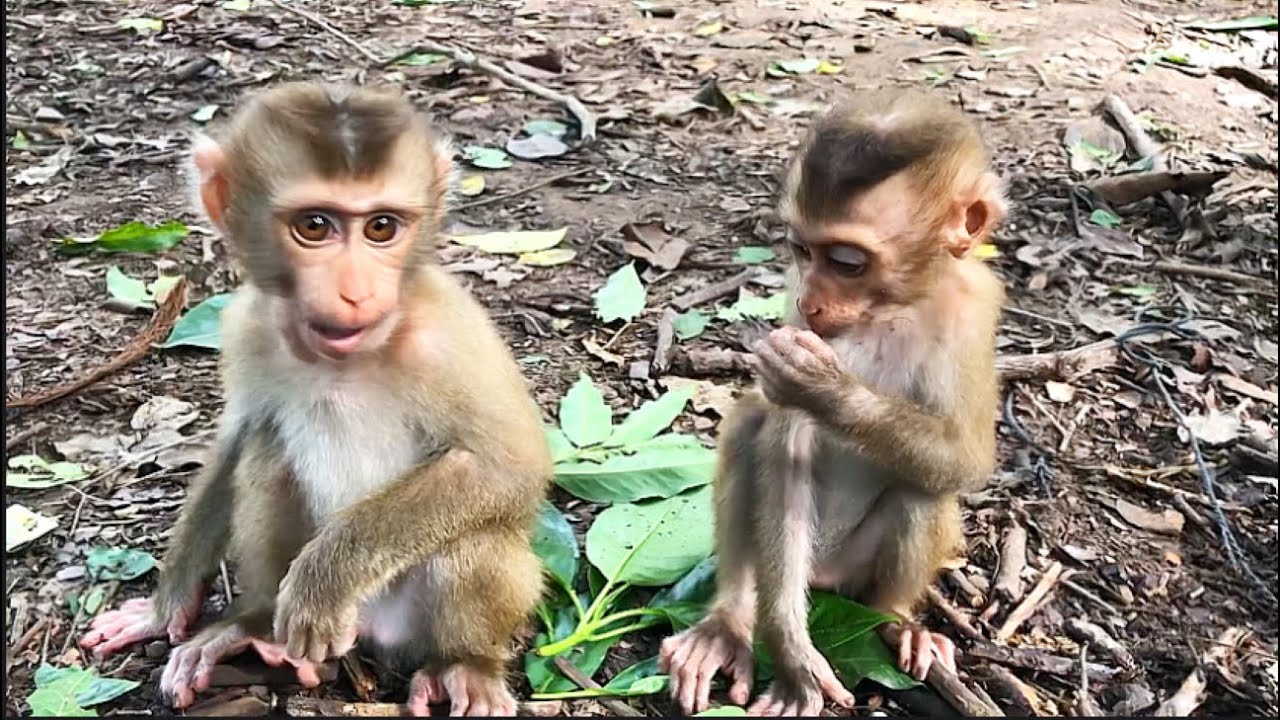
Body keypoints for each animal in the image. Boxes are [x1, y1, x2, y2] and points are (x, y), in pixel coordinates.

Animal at [79, 82, 552, 717]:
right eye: (315, 225)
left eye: (382, 228)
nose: (356, 291)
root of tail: (371, 633)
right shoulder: (248, 325)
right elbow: (235, 440)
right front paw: (164, 607)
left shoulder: (449, 334)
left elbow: (508, 466)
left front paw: (321, 581)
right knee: (266, 447)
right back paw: (255, 630)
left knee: (478, 536)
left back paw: (463, 667)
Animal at [659, 89, 1006, 716]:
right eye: (801, 250)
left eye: (847, 261)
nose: (810, 299)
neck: (892, 307)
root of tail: (824, 579)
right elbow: (781, 452)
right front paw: (793, 657)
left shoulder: (976, 308)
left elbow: (968, 459)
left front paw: (821, 387)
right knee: (748, 425)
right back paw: (729, 620)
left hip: (853, 569)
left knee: (924, 486)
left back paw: (896, 620)